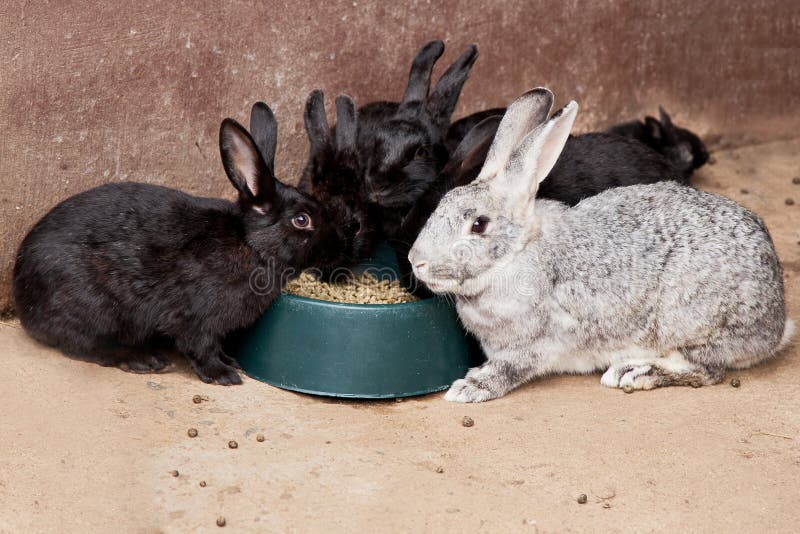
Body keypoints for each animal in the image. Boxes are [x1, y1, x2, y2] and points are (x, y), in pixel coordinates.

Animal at [12, 102, 346, 385]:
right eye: (302, 220)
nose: (341, 243)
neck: (250, 245)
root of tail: (22, 298)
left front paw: (231, 362)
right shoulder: (195, 318)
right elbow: (200, 346)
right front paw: (224, 375)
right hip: (94, 309)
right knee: (83, 345)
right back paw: (142, 360)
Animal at [409, 88, 792, 403]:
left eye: (479, 225)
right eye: (441, 203)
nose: (416, 261)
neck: (517, 256)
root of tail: (778, 319)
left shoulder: (541, 342)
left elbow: (511, 368)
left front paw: (469, 388)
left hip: (691, 325)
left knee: (706, 369)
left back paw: (635, 372)